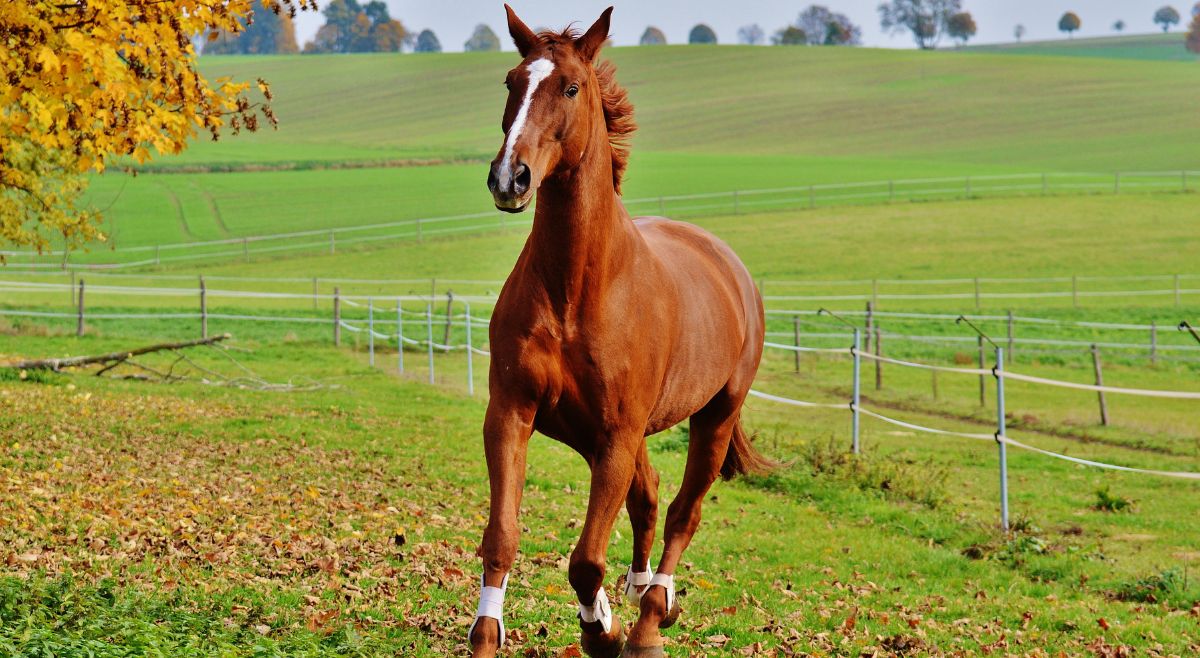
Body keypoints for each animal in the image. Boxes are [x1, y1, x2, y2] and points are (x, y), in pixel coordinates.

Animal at [469, 6, 771, 657]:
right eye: (512, 81)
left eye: (571, 88)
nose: (510, 178)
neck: (577, 289)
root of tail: (730, 267)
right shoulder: (512, 413)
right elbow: (501, 536)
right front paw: (486, 635)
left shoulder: (616, 435)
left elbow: (586, 560)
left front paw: (602, 631)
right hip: (600, 434)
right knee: (650, 495)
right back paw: (639, 594)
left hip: (713, 417)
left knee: (683, 511)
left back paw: (652, 616)